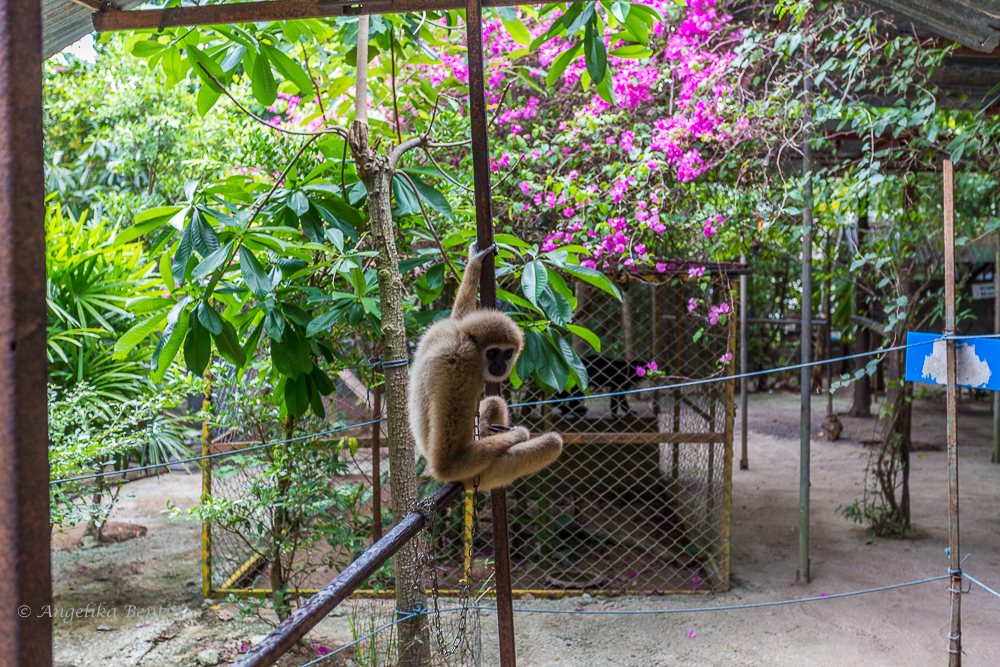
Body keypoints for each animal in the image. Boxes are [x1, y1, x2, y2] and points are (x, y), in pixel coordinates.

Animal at [408, 242, 563, 491]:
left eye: (507, 353)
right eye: (492, 353)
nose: (500, 364)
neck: (463, 338)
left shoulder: (447, 327)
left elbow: (459, 314)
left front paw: (475, 261)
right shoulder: (460, 364)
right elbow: (447, 462)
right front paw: (519, 434)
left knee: (495, 402)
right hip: (477, 473)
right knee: (552, 442)